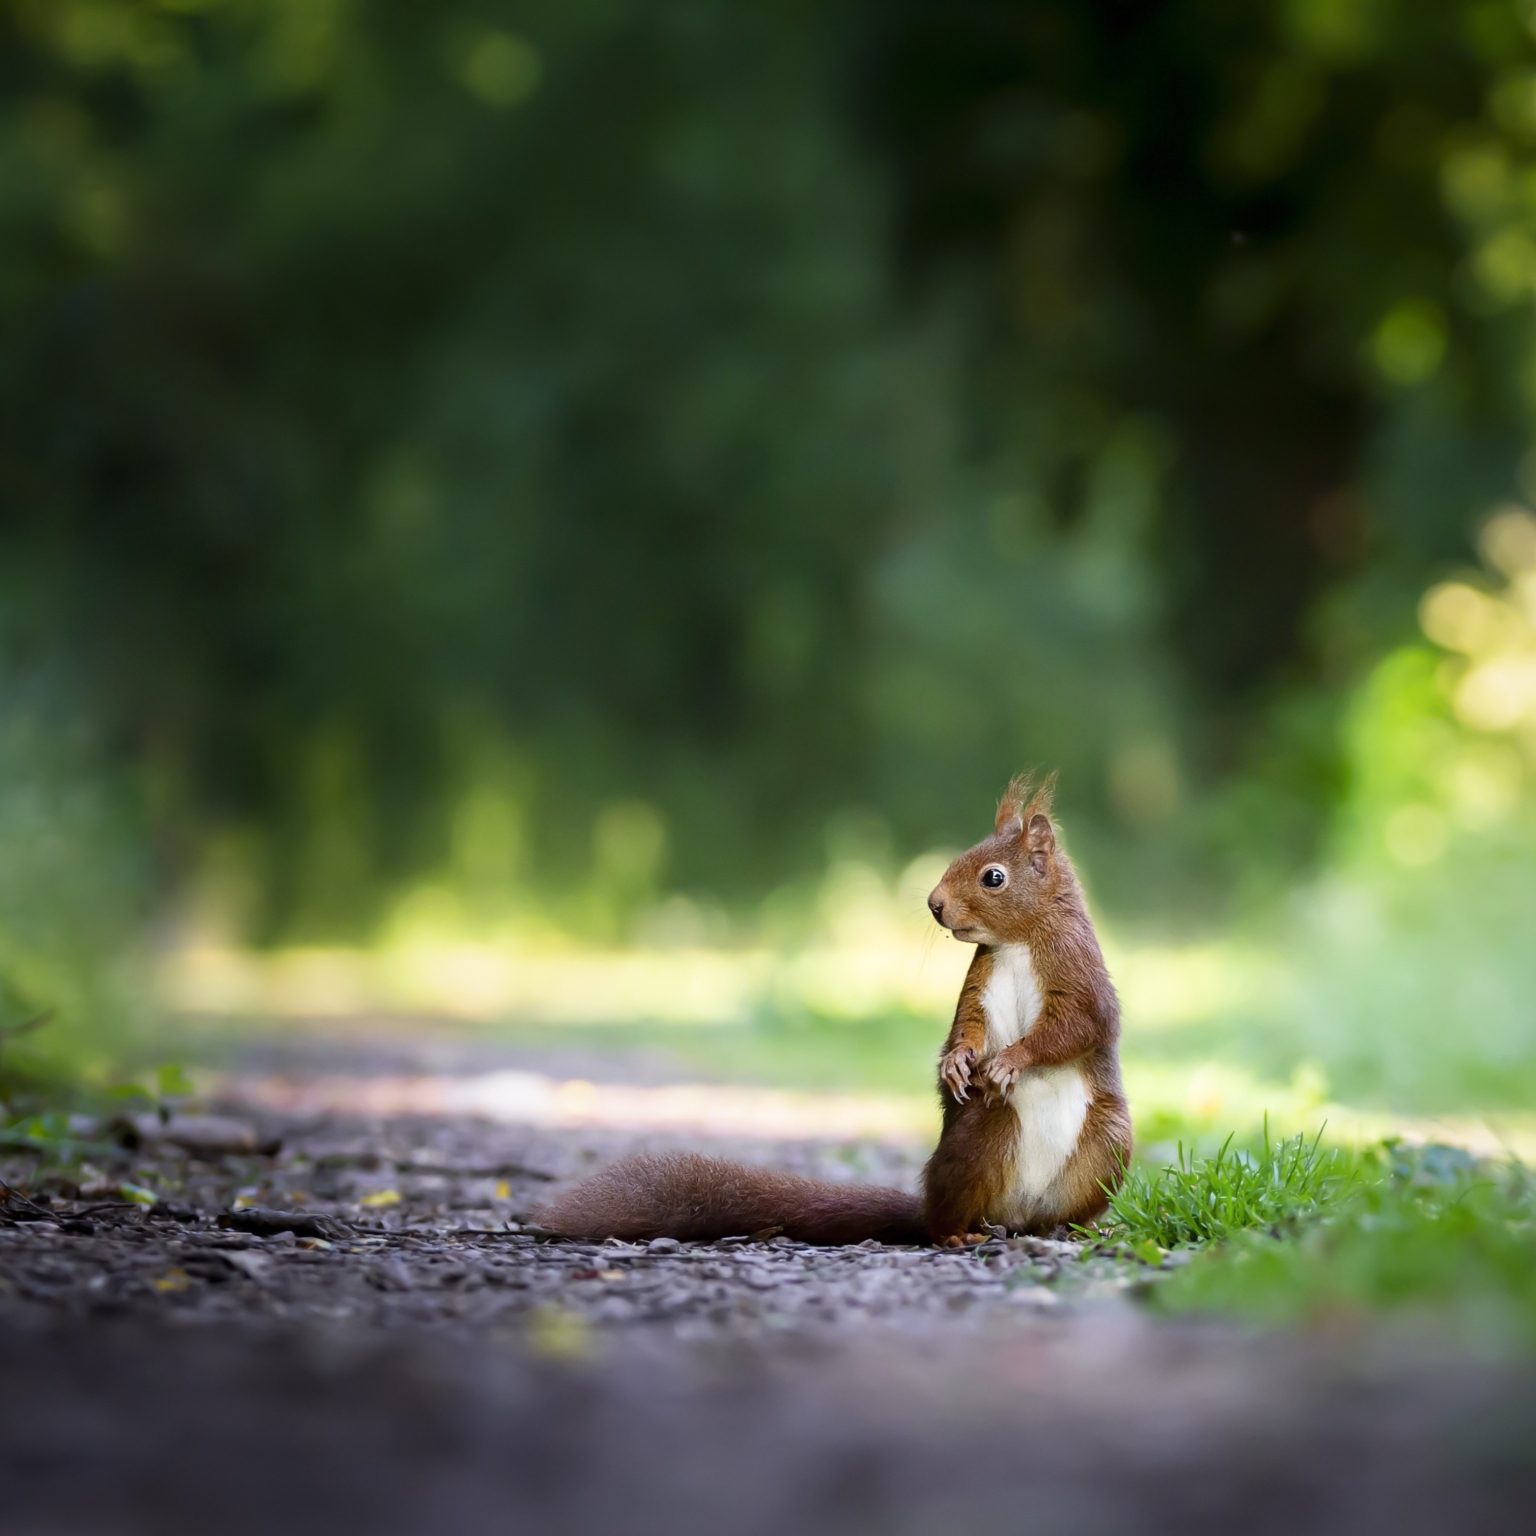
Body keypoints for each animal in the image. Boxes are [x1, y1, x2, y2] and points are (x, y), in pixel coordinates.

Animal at [536, 774, 1131, 1246]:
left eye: (993, 877)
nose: (935, 904)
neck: (1018, 943)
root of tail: (1016, 1215)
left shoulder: (1078, 974)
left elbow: (1076, 1026)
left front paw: (1011, 1060)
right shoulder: (979, 983)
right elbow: (968, 1027)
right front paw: (957, 1063)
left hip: (1108, 1144)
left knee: (1059, 1208)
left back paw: (1075, 1228)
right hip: (984, 1136)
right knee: (949, 1214)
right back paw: (957, 1233)